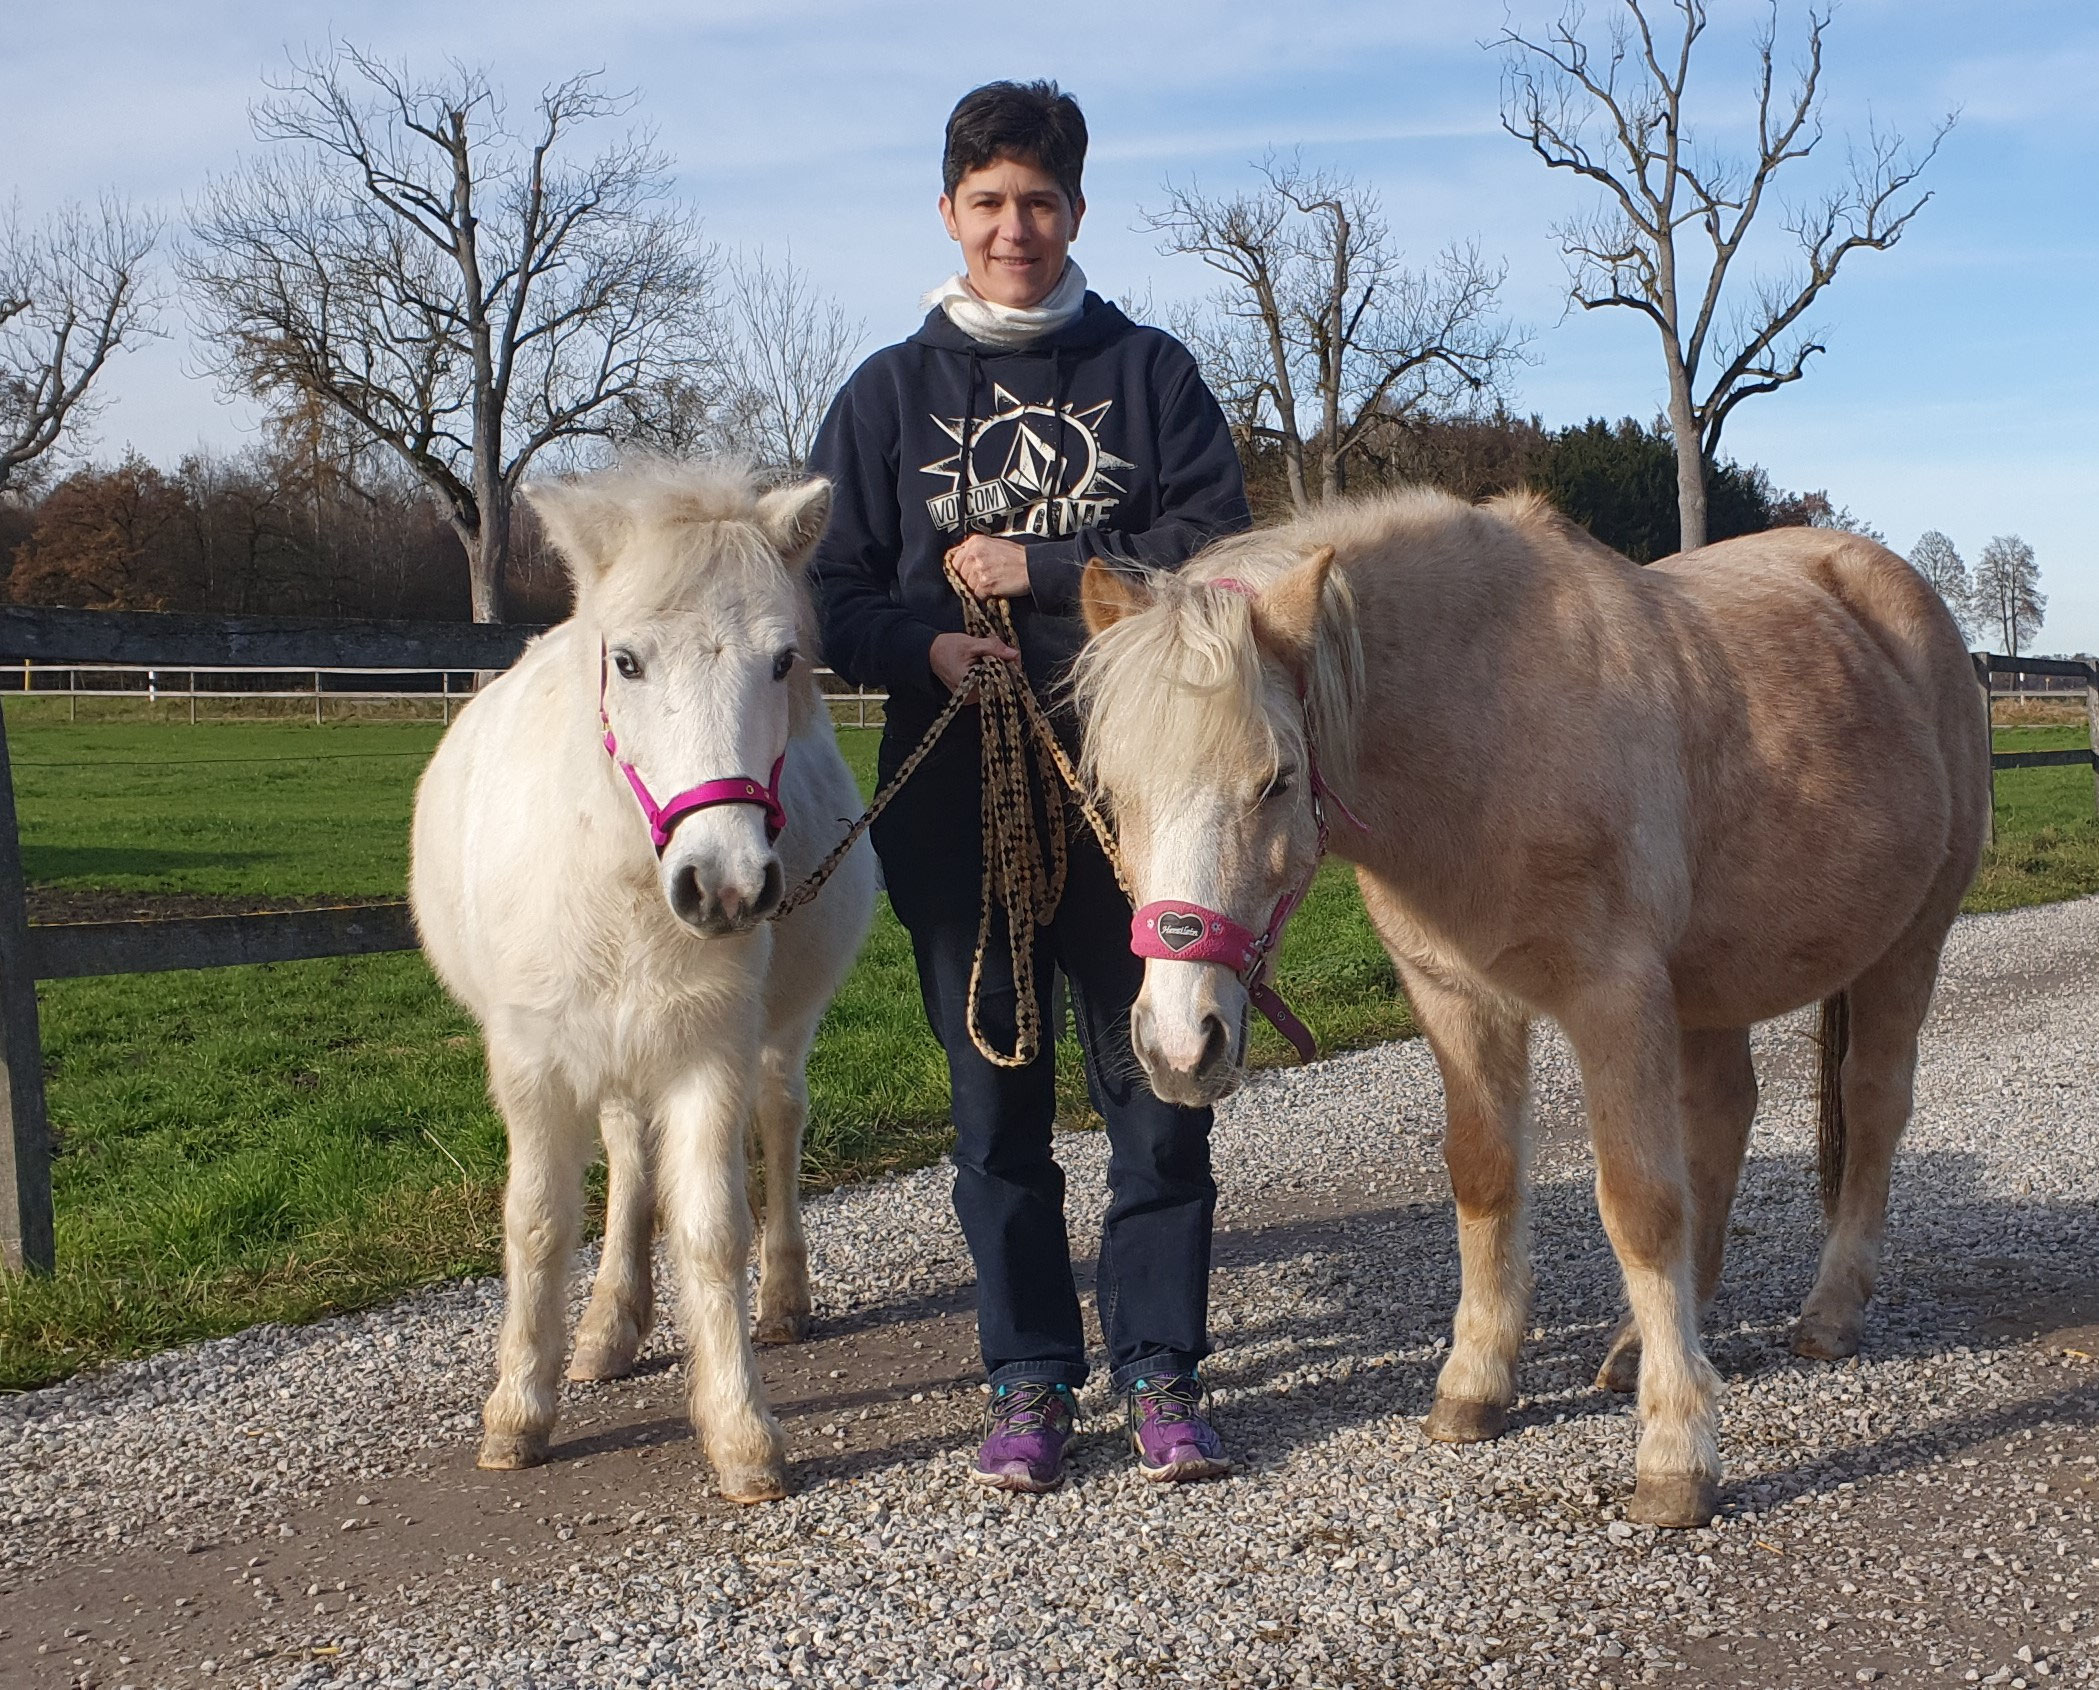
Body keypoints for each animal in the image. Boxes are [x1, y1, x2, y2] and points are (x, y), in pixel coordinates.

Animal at [409, 460, 876, 1503]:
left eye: (784, 661)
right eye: (625, 662)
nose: (726, 885)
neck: (621, 874)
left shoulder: (710, 1055)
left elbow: (711, 1230)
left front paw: (741, 1432)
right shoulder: (535, 1063)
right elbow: (539, 1227)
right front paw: (518, 1410)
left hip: (770, 1041)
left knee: (778, 1121)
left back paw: (782, 1296)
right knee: (626, 1160)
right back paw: (606, 1328)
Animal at [1072, 487, 1987, 1527]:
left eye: (1274, 779)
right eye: (1110, 788)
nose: (1180, 1048)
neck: (1492, 724)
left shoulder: (1613, 998)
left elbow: (1637, 1206)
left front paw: (1675, 1453)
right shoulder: (1454, 1002)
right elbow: (1485, 1180)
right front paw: (1475, 1385)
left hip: (1907, 944)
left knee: (1871, 1106)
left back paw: (1828, 1313)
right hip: (1711, 984)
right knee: (1721, 1116)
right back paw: (1642, 1343)